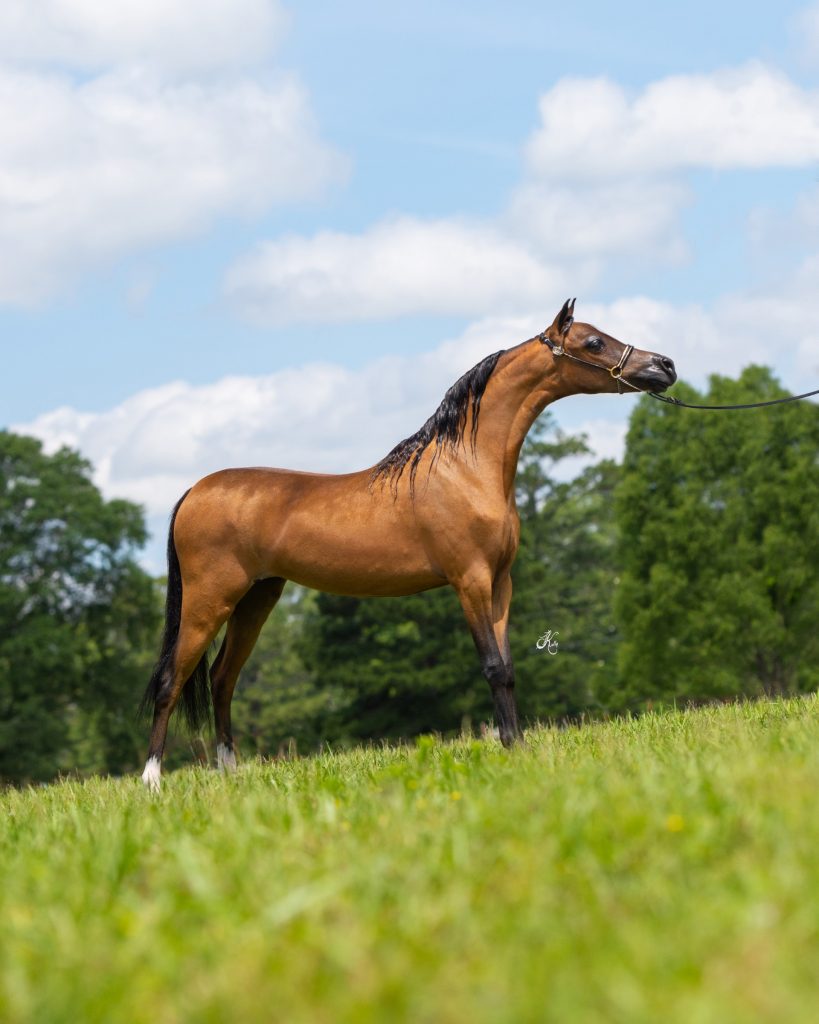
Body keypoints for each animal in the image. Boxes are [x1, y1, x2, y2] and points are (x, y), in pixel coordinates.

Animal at [139, 299, 677, 789]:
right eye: (593, 342)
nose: (664, 366)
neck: (466, 468)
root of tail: (195, 491)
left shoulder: (500, 585)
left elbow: (508, 668)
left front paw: (518, 748)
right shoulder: (470, 581)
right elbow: (492, 666)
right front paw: (509, 749)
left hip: (257, 598)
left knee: (221, 679)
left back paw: (230, 774)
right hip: (210, 600)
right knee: (172, 681)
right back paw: (152, 781)